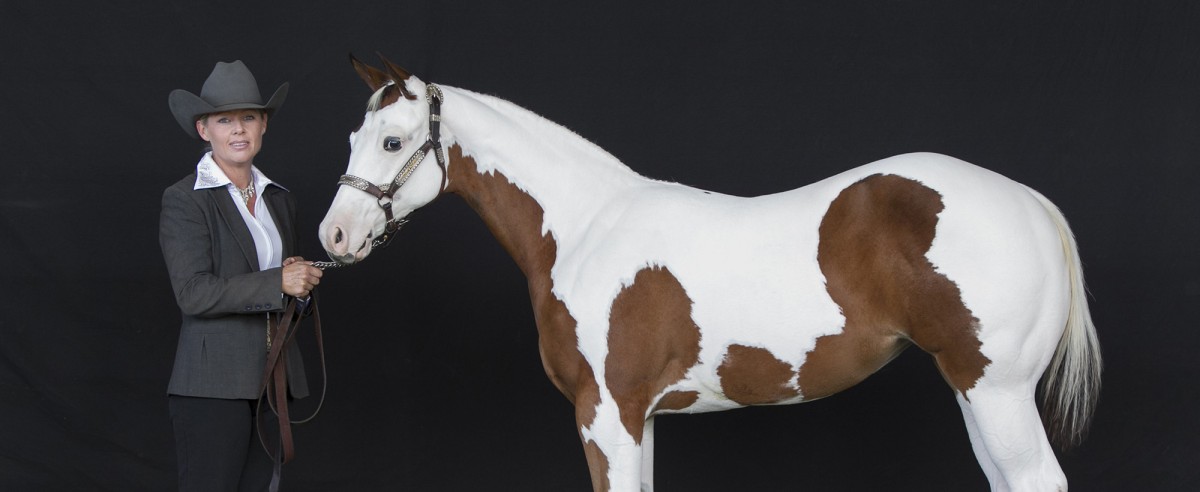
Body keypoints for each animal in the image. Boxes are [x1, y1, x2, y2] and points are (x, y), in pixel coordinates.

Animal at [318, 54, 1101, 492]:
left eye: (393, 141)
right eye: (355, 135)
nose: (335, 236)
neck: (584, 229)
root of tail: (1027, 200)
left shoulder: (604, 413)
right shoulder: (639, 419)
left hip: (996, 391)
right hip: (975, 391)